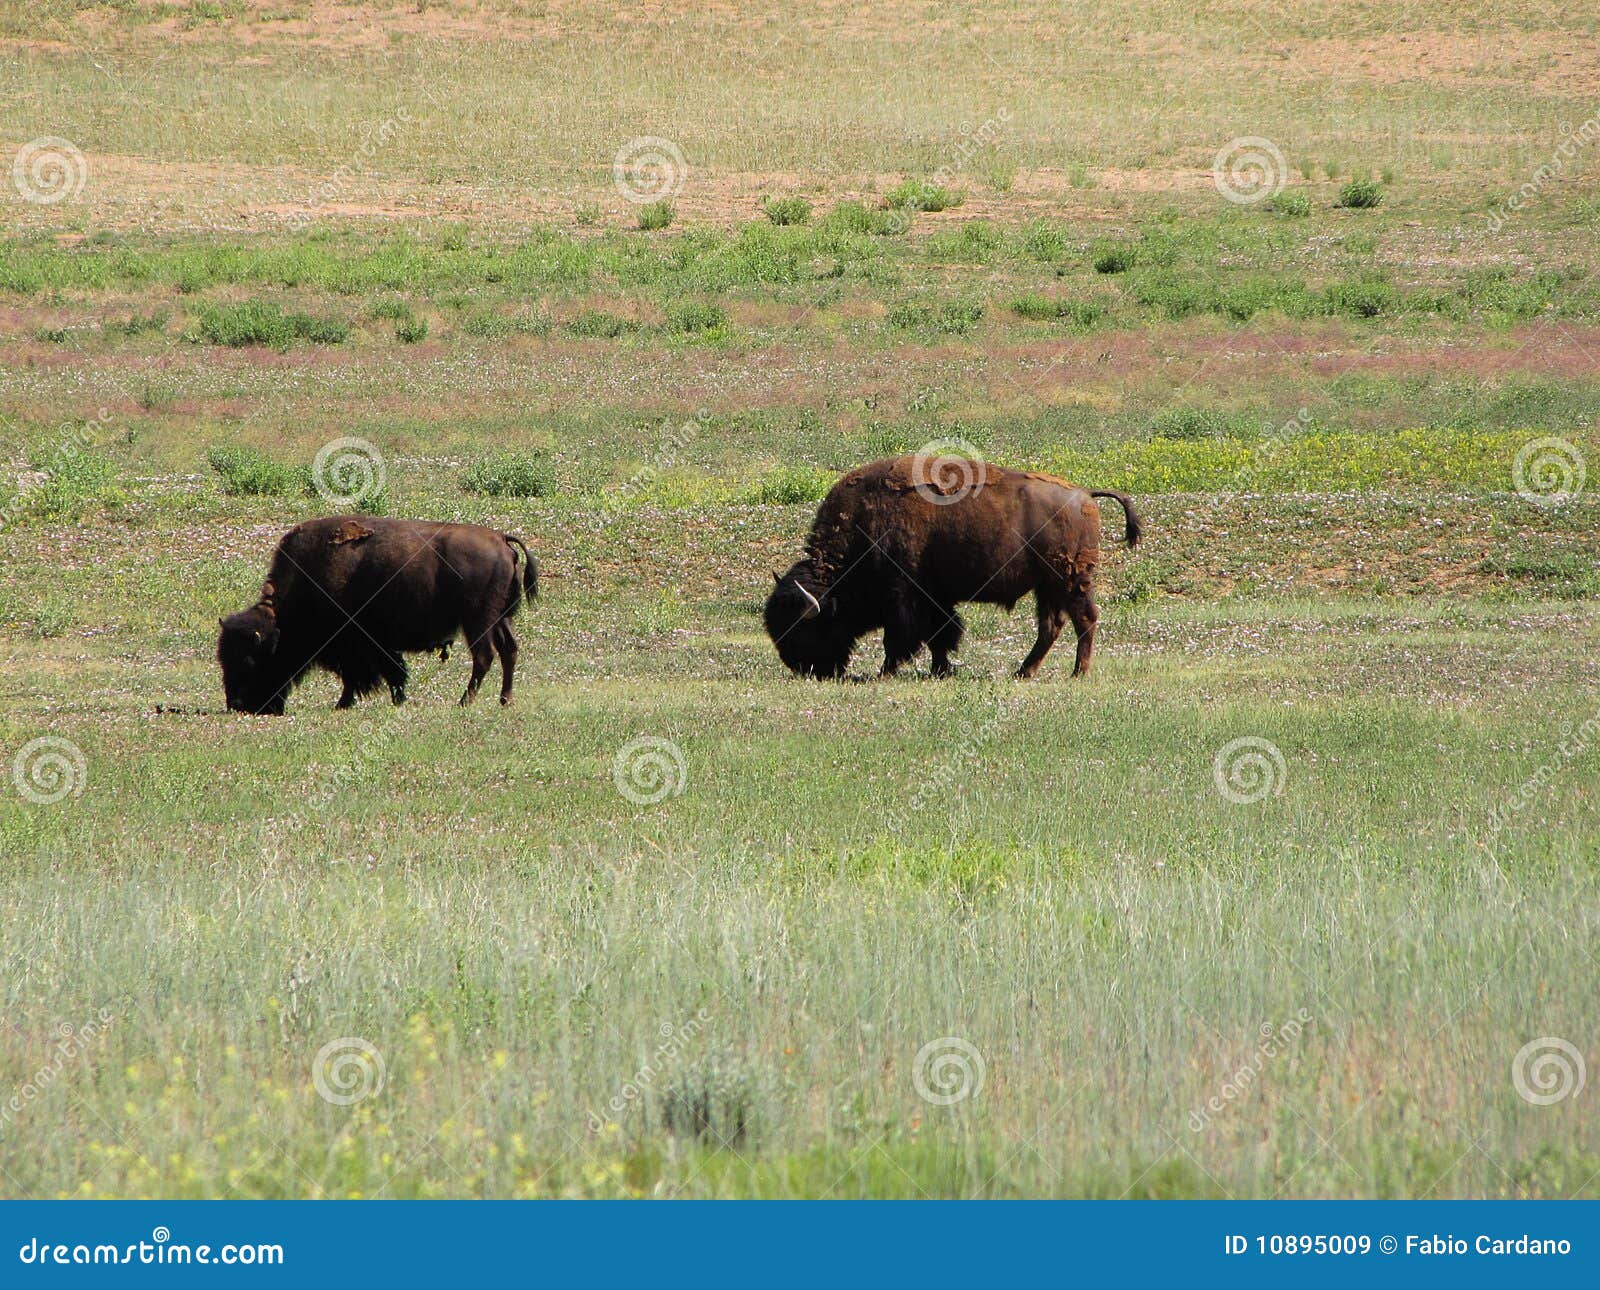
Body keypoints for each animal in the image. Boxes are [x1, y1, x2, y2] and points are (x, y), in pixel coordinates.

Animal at [217, 516, 537, 714]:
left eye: (250, 659)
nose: (238, 704)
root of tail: (501, 539)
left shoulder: (356, 645)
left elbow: (363, 674)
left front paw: (346, 703)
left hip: (478, 621)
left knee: (484, 656)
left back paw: (464, 702)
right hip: (499, 619)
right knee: (509, 650)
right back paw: (504, 700)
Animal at [764, 456, 1141, 680]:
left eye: (806, 627)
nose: (803, 668)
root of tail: (1085, 494)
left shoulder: (904, 599)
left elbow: (902, 638)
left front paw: (887, 672)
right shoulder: (936, 599)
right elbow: (940, 635)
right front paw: (940, 670)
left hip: (1069, 580)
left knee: (1084, 619)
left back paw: (1078, 672)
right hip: (1046, 585)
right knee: (1052, 626)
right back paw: (1024, 672)